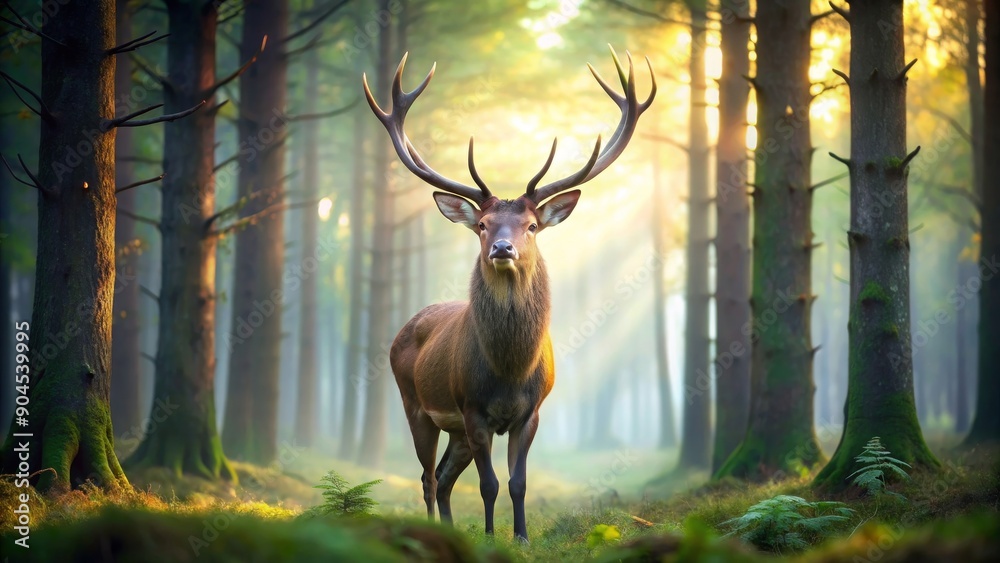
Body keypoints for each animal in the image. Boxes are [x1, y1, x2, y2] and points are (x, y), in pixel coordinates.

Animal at [362, 48, 655, 542]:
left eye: (532, 225)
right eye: (482, 224)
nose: (502, 248)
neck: (509, 369)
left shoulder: (531, 412)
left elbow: (518, 483)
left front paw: (519, 535)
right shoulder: (472, 409)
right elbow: (489, 484)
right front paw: (490, 536)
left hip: (456, 431)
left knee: (443, 477)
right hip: (416, 405)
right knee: (427, 477)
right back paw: (436, 529)